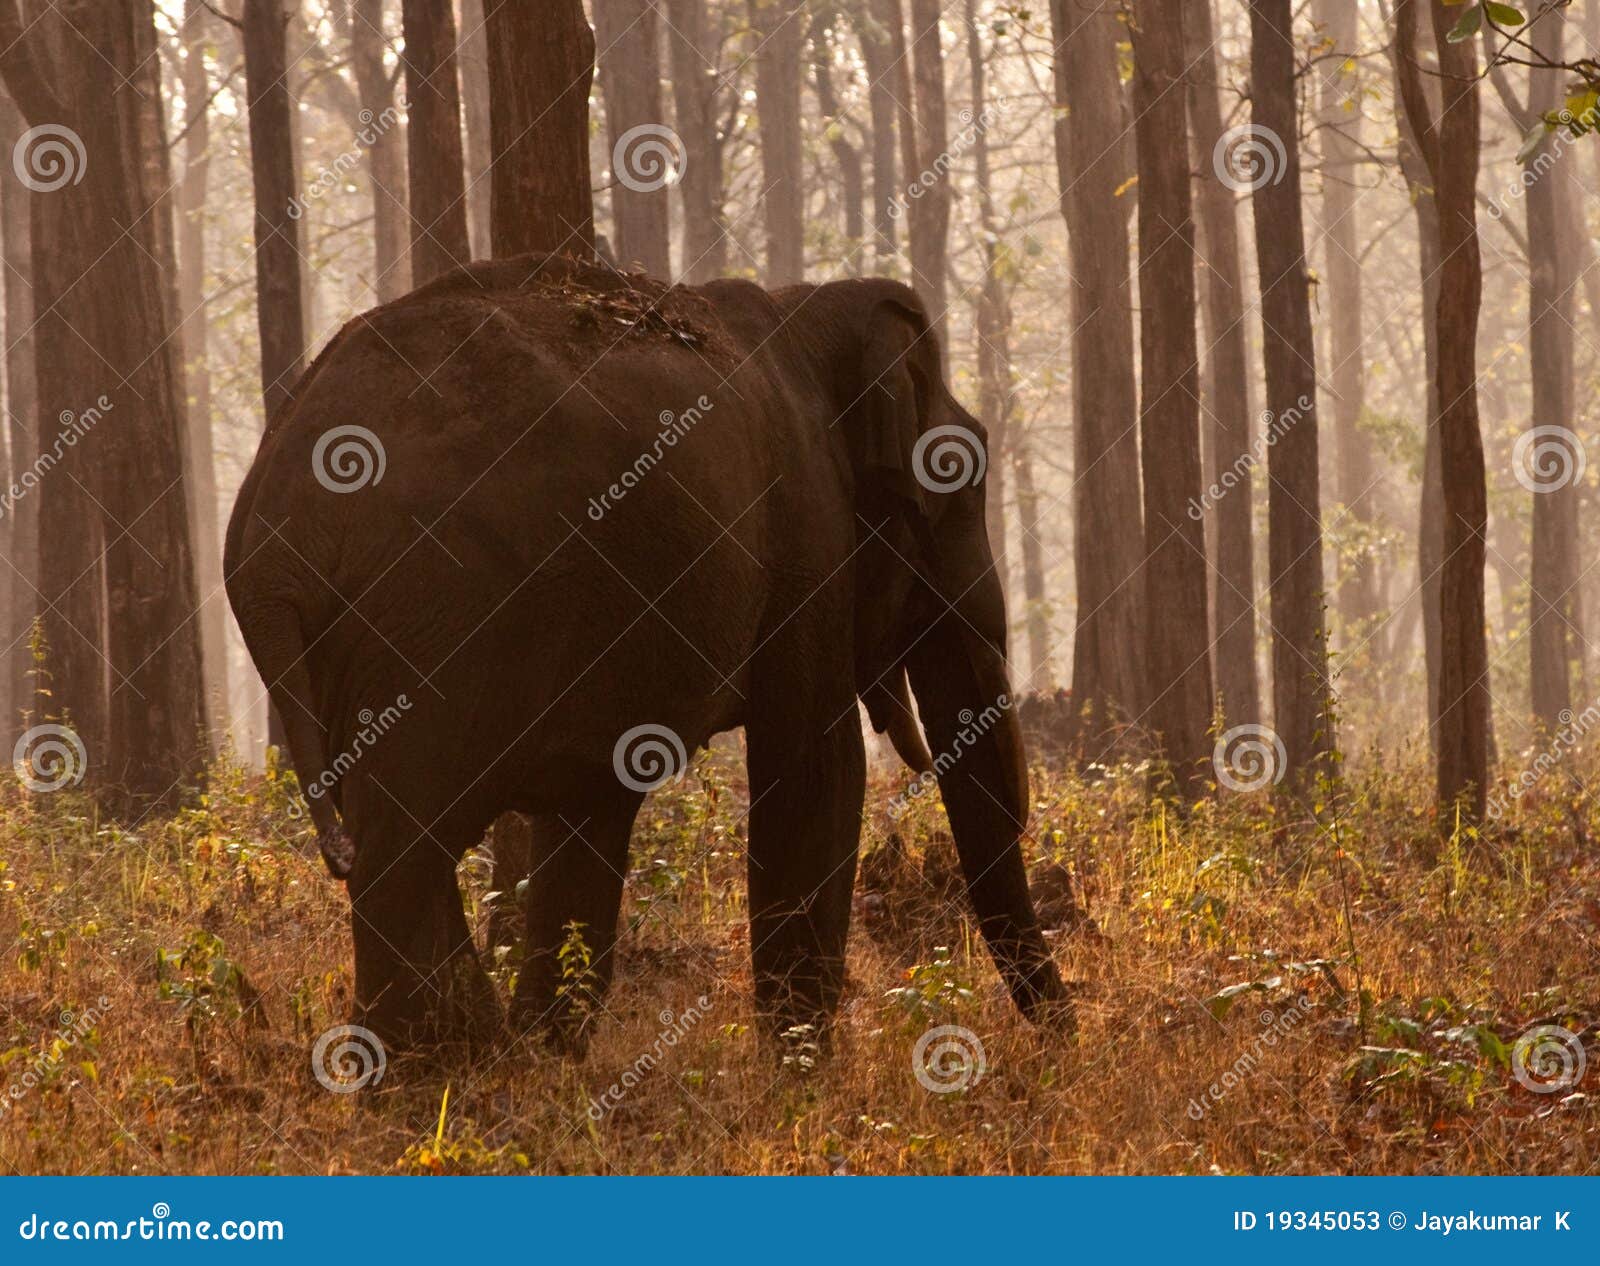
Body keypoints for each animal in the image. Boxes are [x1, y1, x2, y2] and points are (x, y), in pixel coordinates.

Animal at [225, 252, 1070, 1050]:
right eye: (962, 480)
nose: (1066, 1035)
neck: (803, 313)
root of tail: (272, 531)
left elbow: (589, 813)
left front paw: (551, 1057)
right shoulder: (807, 533)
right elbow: (815, 768)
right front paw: (800, 1067)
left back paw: (469, 1059)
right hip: (435, 612)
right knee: (402, 846)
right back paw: (445, 1067)